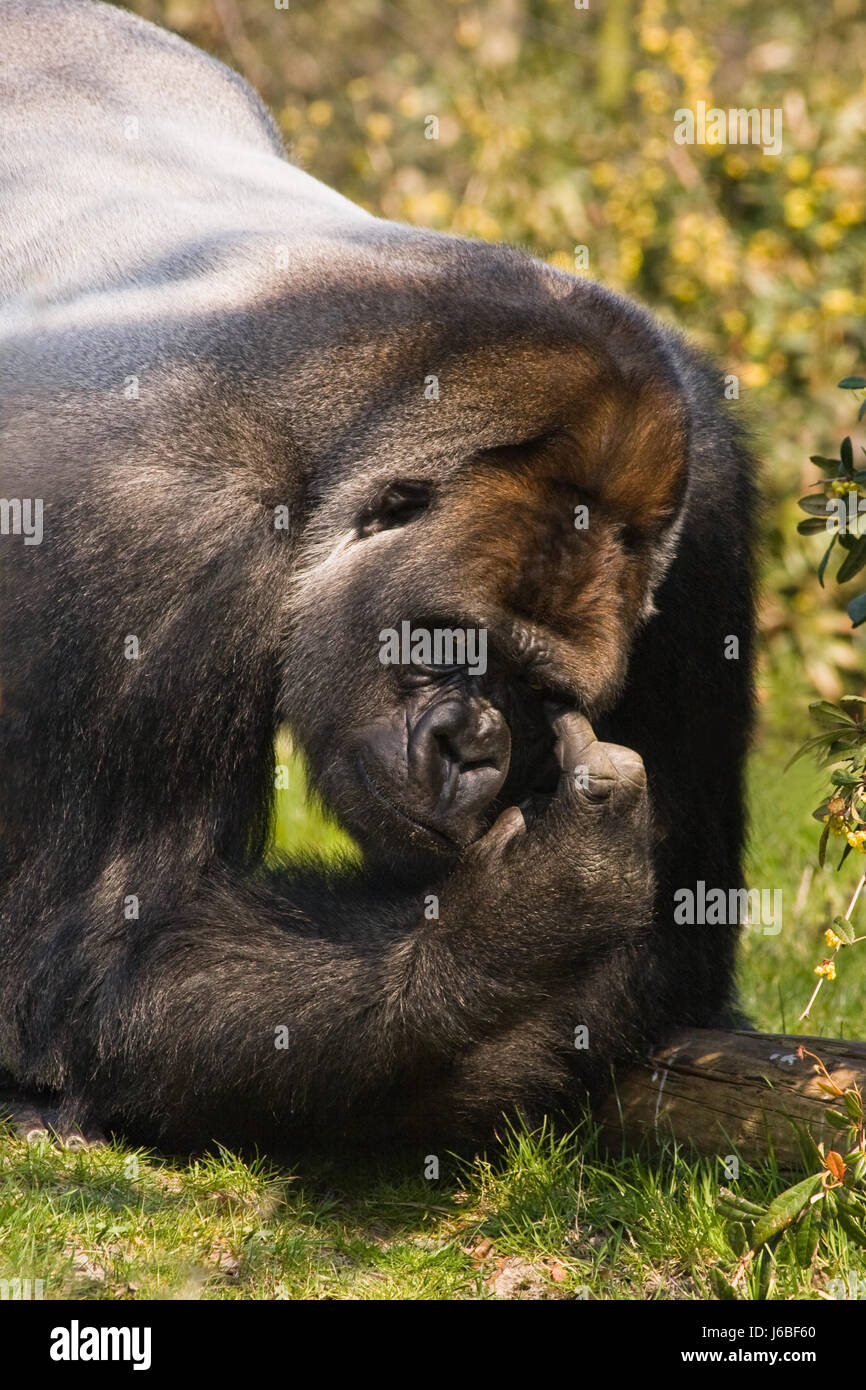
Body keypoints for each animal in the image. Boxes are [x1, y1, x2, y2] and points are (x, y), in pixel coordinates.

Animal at [0, 0, 755, 1151]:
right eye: (443, 641)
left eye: (537, 691)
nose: (469, 752)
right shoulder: (146, 518)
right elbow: (104, 953)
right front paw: (527, 909)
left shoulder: (705, 517)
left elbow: (664, 952)